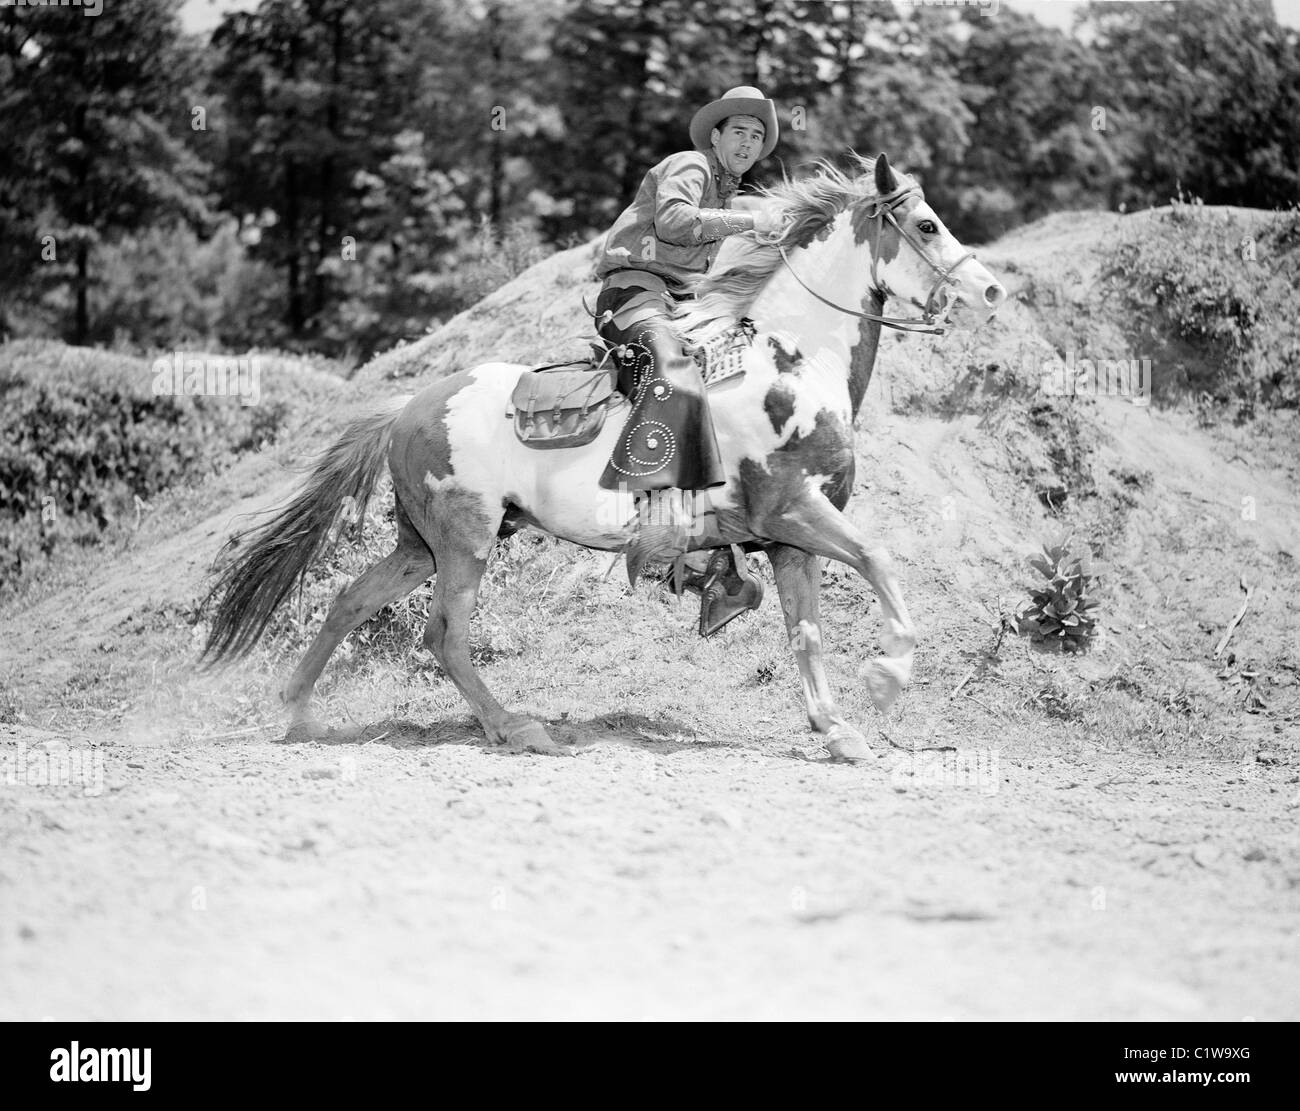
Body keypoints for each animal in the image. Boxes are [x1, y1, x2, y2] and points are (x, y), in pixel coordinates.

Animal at [201, 153, 1005, 761]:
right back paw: (515, 727)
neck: (793, 359)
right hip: (463, 541)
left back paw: (299, 712)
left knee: (351, 600)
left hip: (421, 542)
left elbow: (804, 630)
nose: (990, 288)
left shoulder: (787, 540)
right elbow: (878, 559)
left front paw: (835, 729)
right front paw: (889, 676)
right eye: (927, 224)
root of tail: (405, 409)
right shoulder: (793, 510)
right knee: (444, 635)